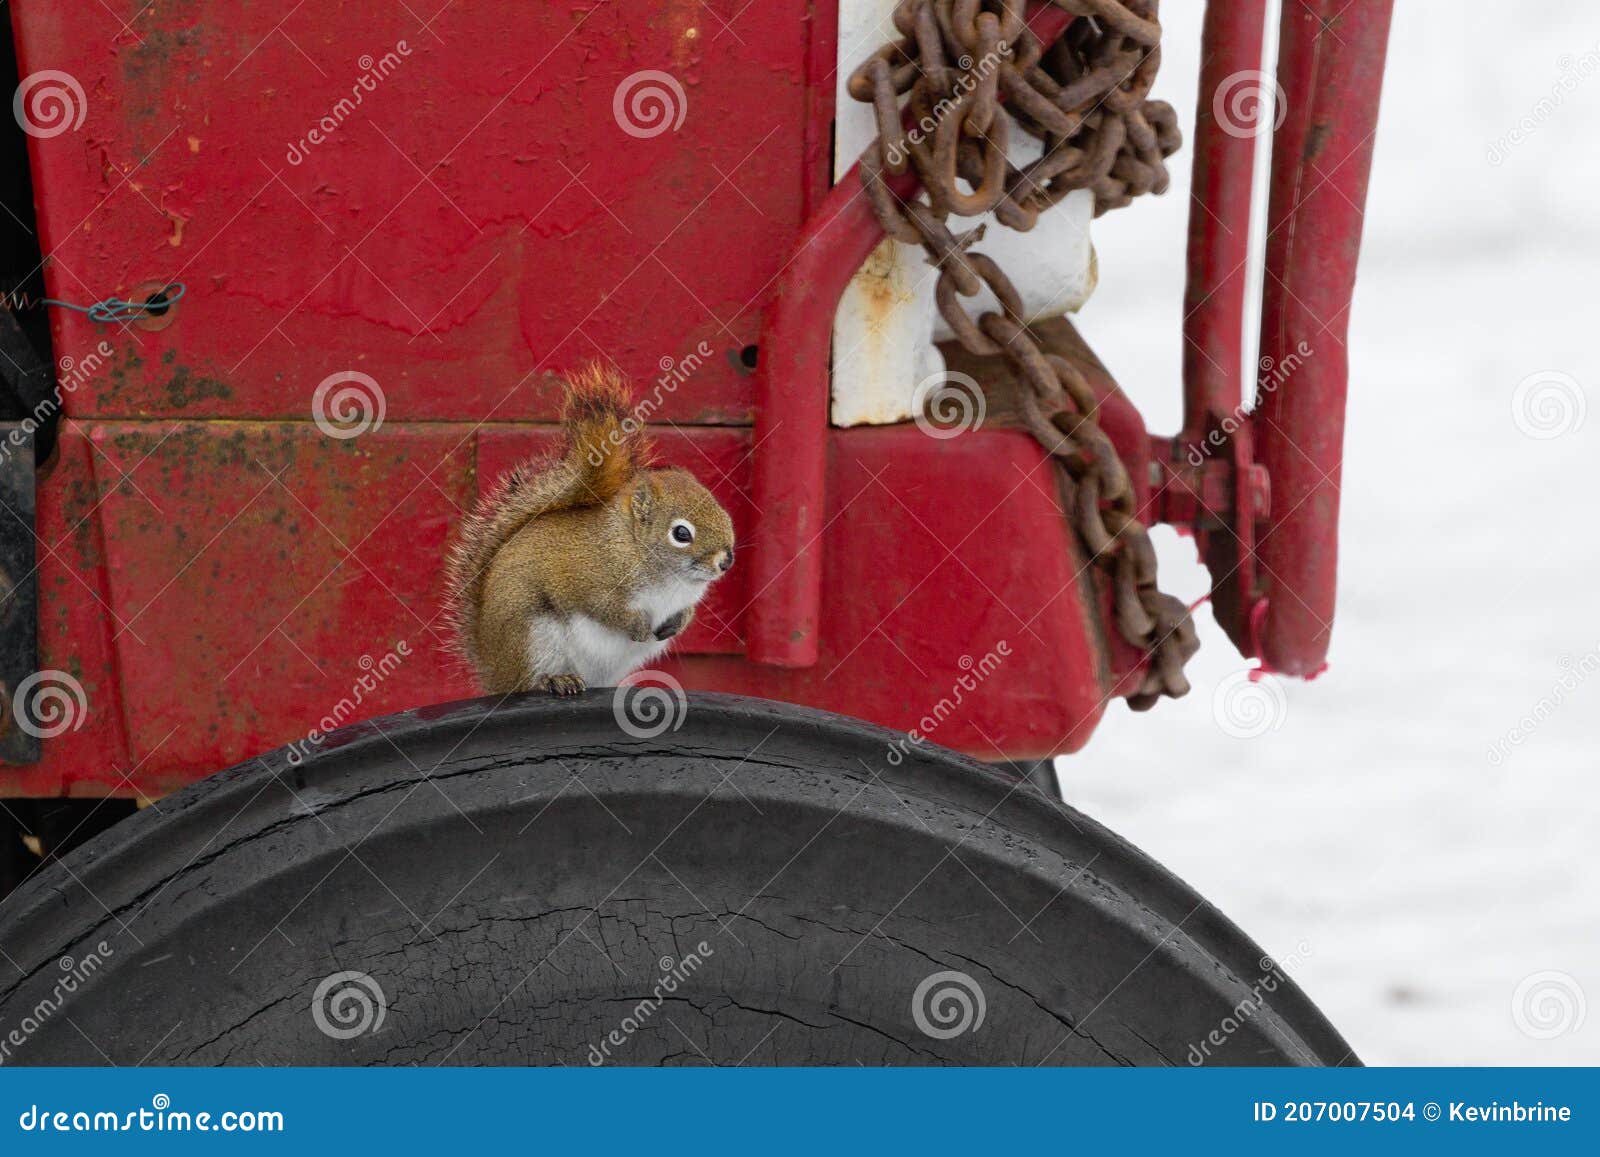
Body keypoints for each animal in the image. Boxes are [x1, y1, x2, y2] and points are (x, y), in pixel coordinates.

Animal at [444, 365, 735, 696]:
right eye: (681, 534)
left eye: (719, 507)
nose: (726, 560)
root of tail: (495, 673)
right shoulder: (585, 577)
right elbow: (603, 607)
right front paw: (636, 626)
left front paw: (680, 622)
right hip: (533, 639)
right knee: (530, 679)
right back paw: (555, 680)